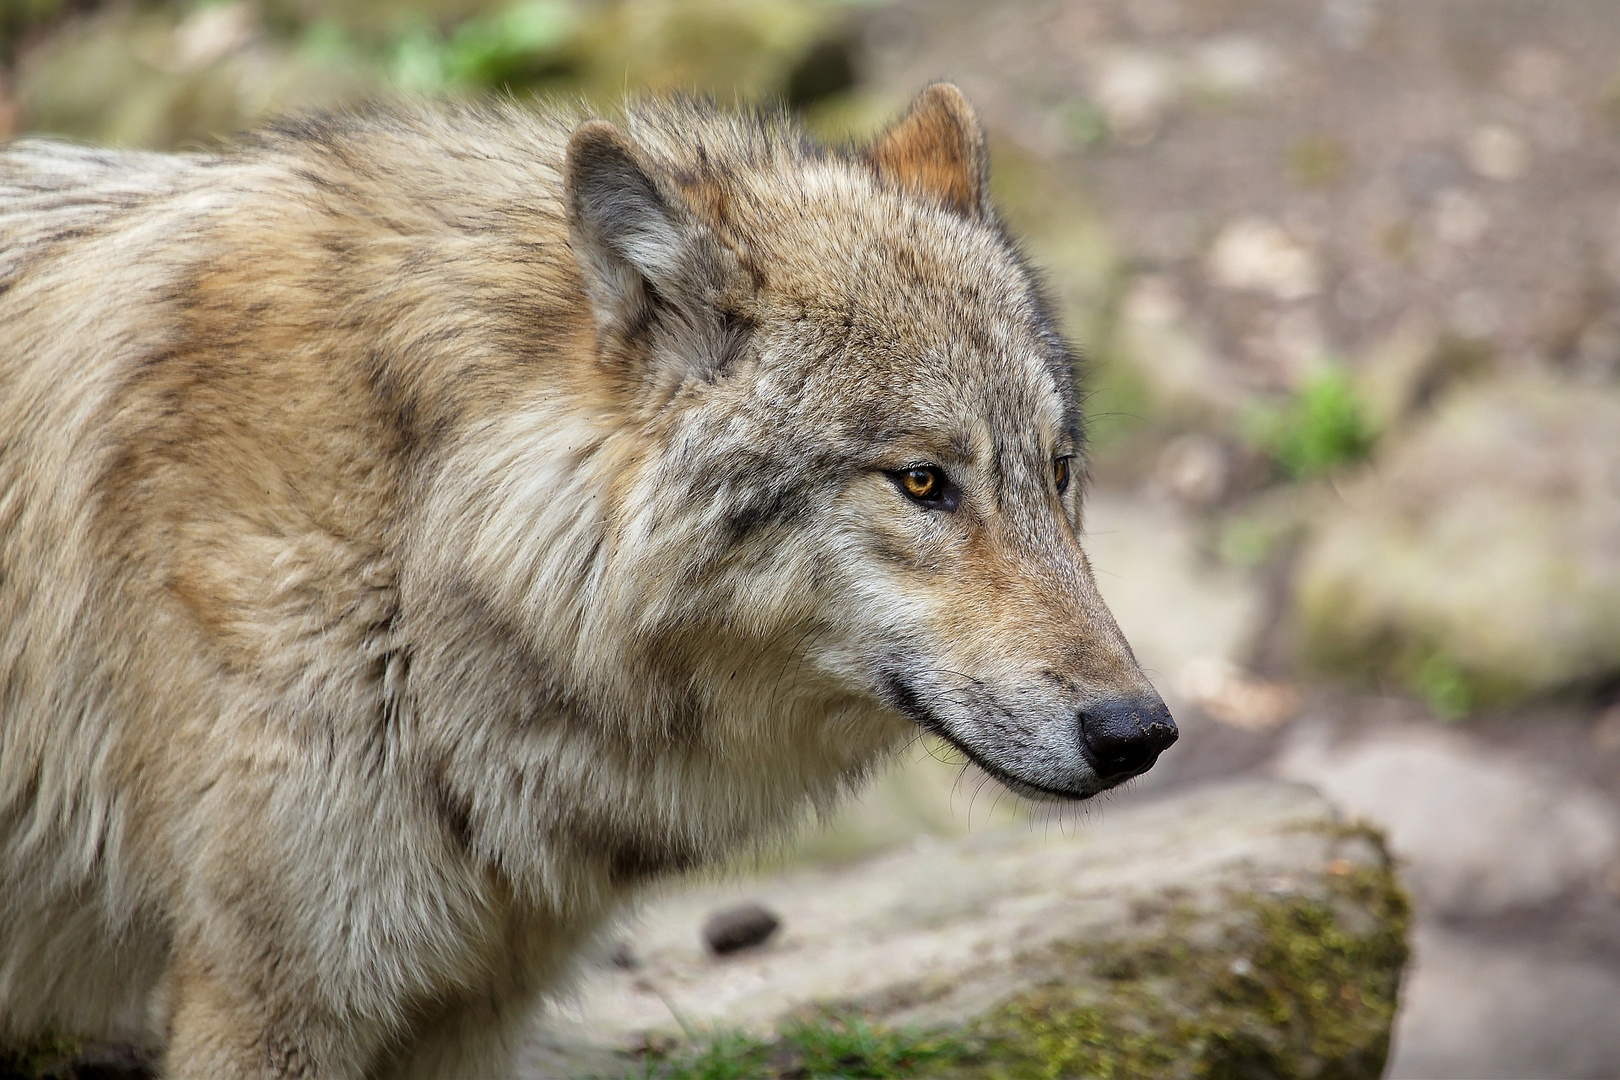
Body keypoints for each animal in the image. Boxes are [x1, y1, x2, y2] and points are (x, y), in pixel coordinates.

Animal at [0, 84, 1176, 1077]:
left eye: (1057, 471)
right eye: (923, 480)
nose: (1140, 733)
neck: (419, 533)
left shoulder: (466, 1013)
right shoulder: (265, 1003)